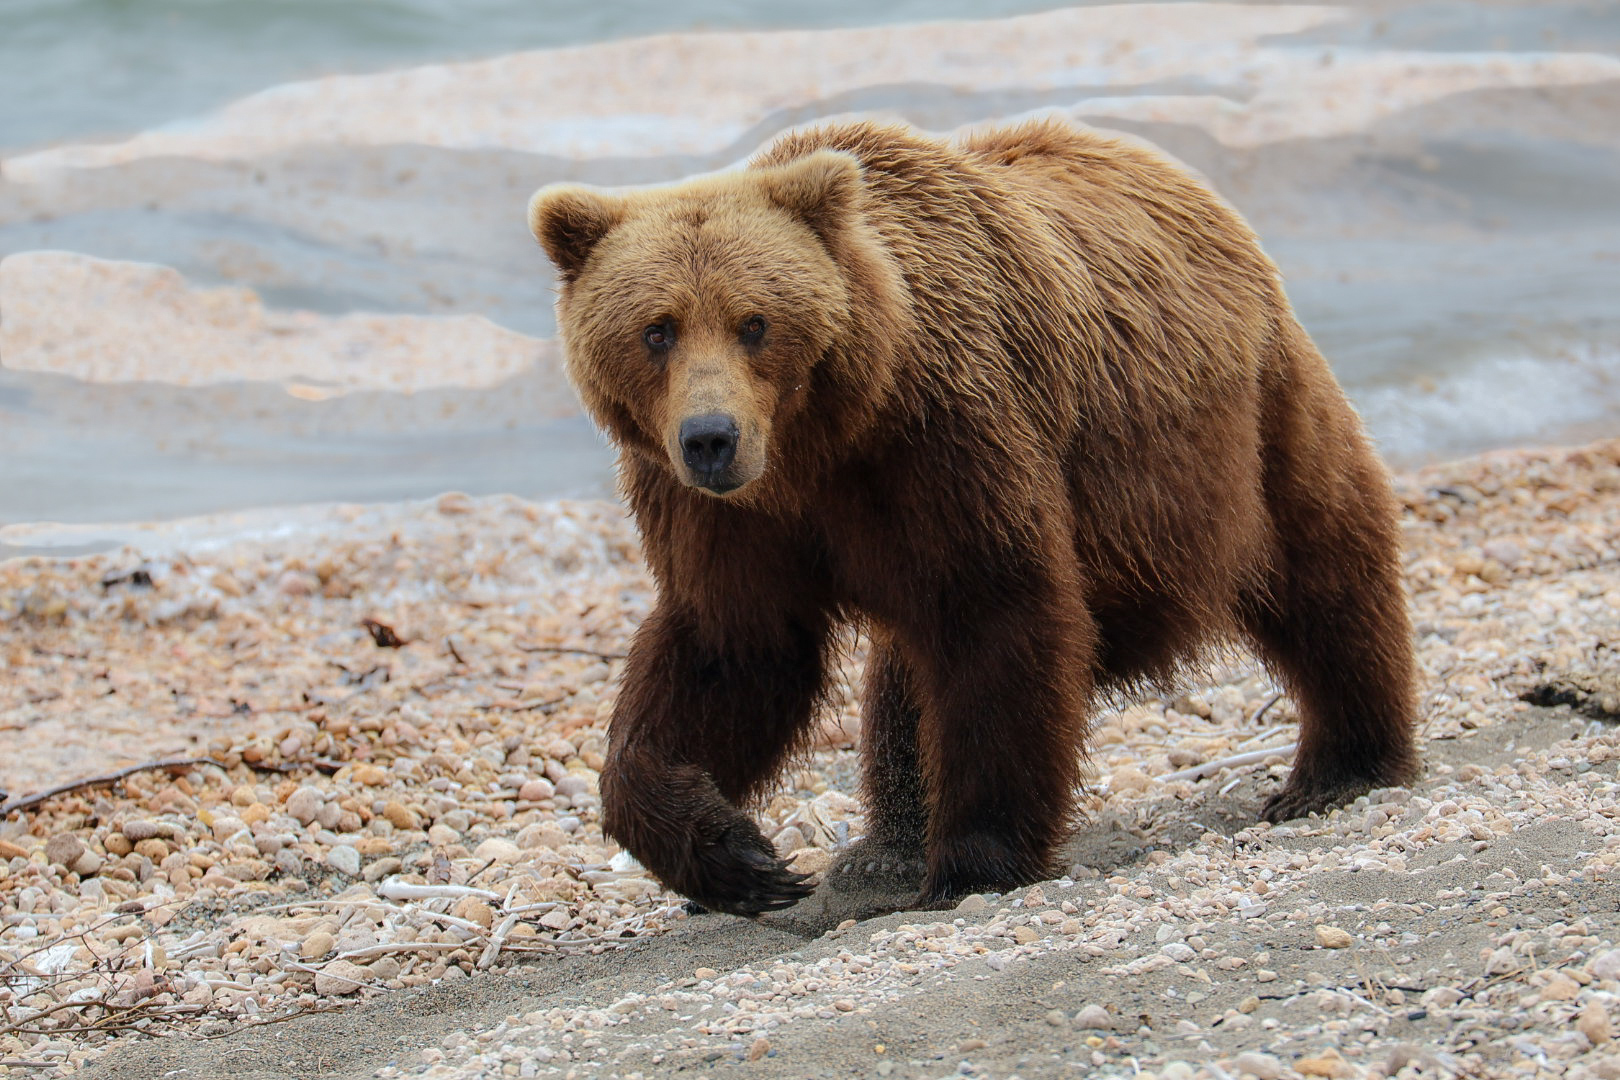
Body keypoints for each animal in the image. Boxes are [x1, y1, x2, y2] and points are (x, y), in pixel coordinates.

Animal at [526, 118, 1419, 917]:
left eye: (755, 322)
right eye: (658, 329)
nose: (712, 437)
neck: (826, 439)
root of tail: (1177, 176)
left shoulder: (948, 440)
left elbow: (996, 613)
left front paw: (974, 861)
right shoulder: (725, 516)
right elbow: (733, 650)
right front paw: (733, 855)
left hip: (1248, 416)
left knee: (1323, 562)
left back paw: (1341, 766)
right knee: (900, 682)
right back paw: (880, 853)